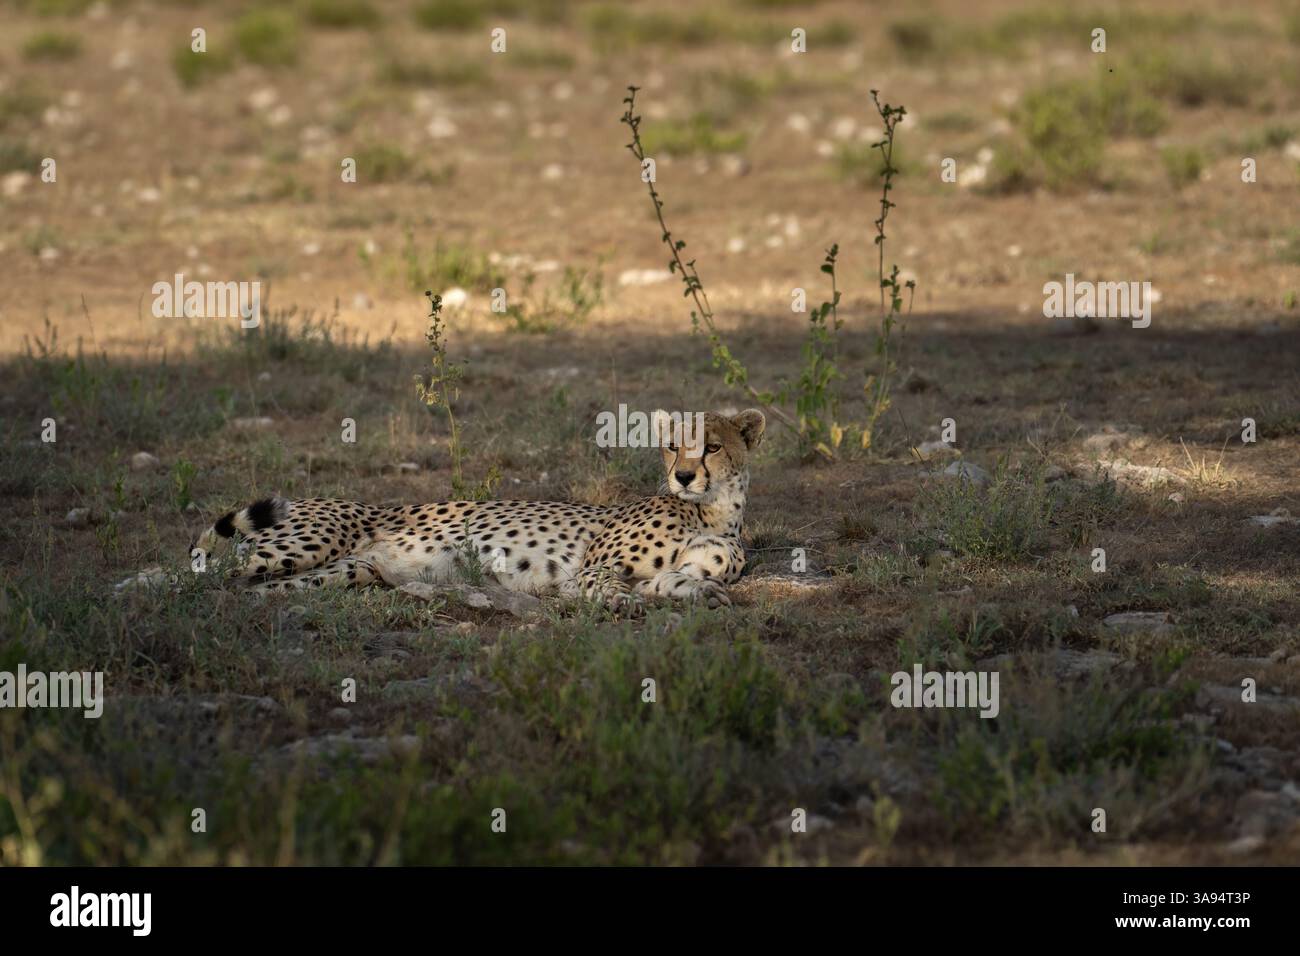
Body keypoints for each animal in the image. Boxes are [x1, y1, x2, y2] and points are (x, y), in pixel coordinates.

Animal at [190, 408, 765, 611]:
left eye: (712, 447)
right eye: (671, 445)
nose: (683, 476)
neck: (710, 511)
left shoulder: (669, 571)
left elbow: (676, 580)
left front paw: (703, 594)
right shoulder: (590, 569)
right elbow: (604, 586)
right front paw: (621, 604)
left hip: (338, 571)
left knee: (243, 587)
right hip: (299, 542)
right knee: (189, 572)